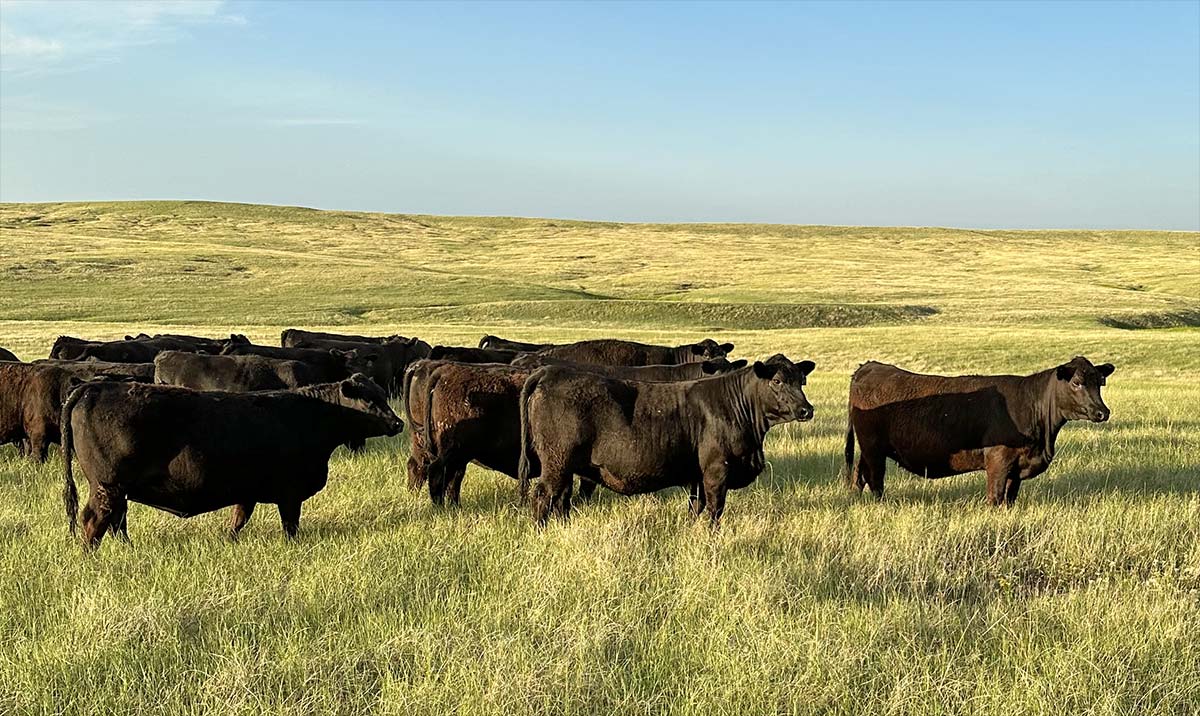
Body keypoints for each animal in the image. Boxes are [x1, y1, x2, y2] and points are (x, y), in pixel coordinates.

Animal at [60, 373, 403, 550]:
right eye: (370, 399)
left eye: (382, 394)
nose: (398, 423)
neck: (314, 414)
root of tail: (92, 387)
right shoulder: (290, 494)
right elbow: (290, 526)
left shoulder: (246, 491)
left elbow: (239, 520)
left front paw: (229, 540)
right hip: (107, 487)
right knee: (96, 521)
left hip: (117, 490)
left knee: (117, 521)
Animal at [517, 355, 815, 527]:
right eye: (777, 381)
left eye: (802, 380)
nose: (806, 410)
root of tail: (550, 372)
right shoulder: (716, 471)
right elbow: (714, 510)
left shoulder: (697, 476)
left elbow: (695, 507)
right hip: (556, 463)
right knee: (543, 496)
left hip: (564, 467)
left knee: (560, 499)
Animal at [843, 357, 1116, 506]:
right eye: (1076, 382)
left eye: (1100, 382)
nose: (1102, 412)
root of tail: (868, 366)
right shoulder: (998, 460)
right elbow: (995, 497)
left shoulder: (1016, 470)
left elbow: (1009, 499)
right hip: (873, 448)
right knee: (875, 481)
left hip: (869, 449)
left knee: (859, 475)